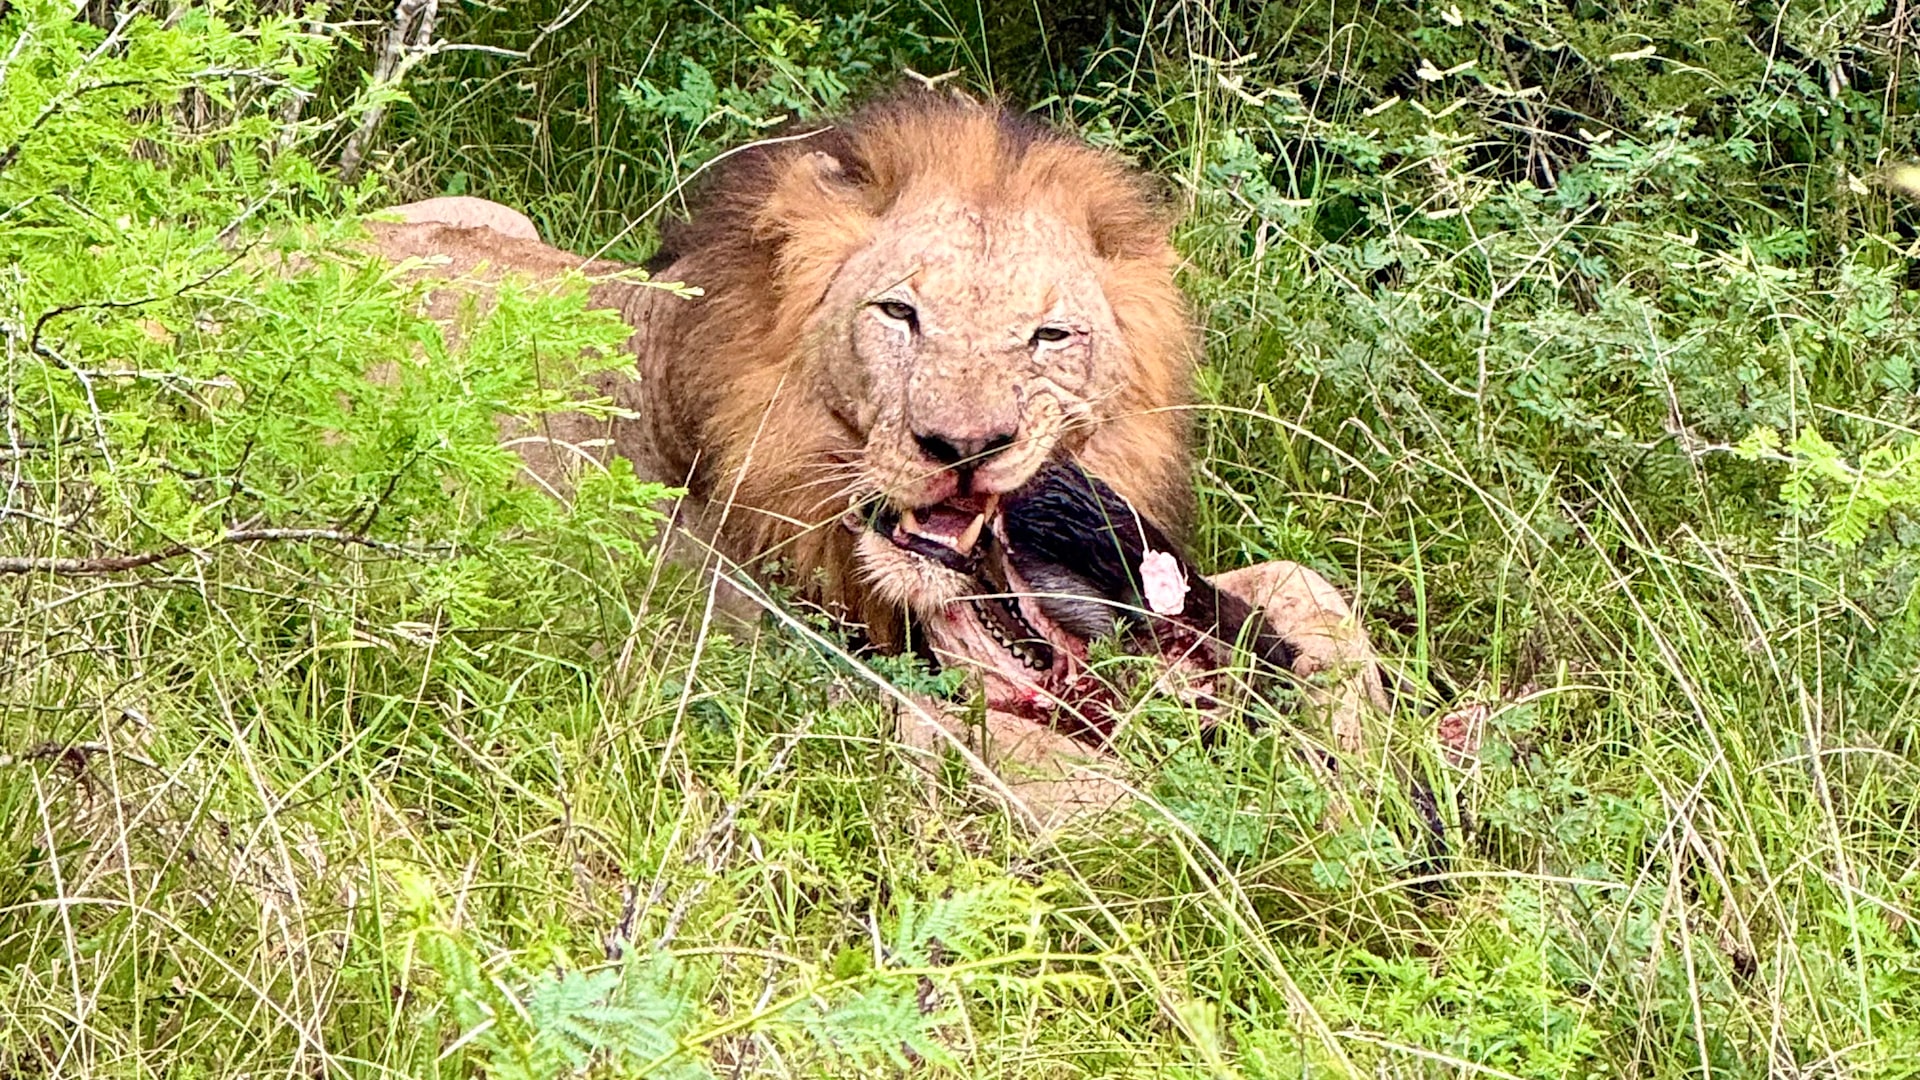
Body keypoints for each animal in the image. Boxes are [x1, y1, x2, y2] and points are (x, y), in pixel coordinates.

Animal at [368, 89, 1387, 829]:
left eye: (1049, 336)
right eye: (899, 313)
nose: (966, 449)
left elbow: (1305, 591)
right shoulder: (742, 675)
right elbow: (1076, 782)